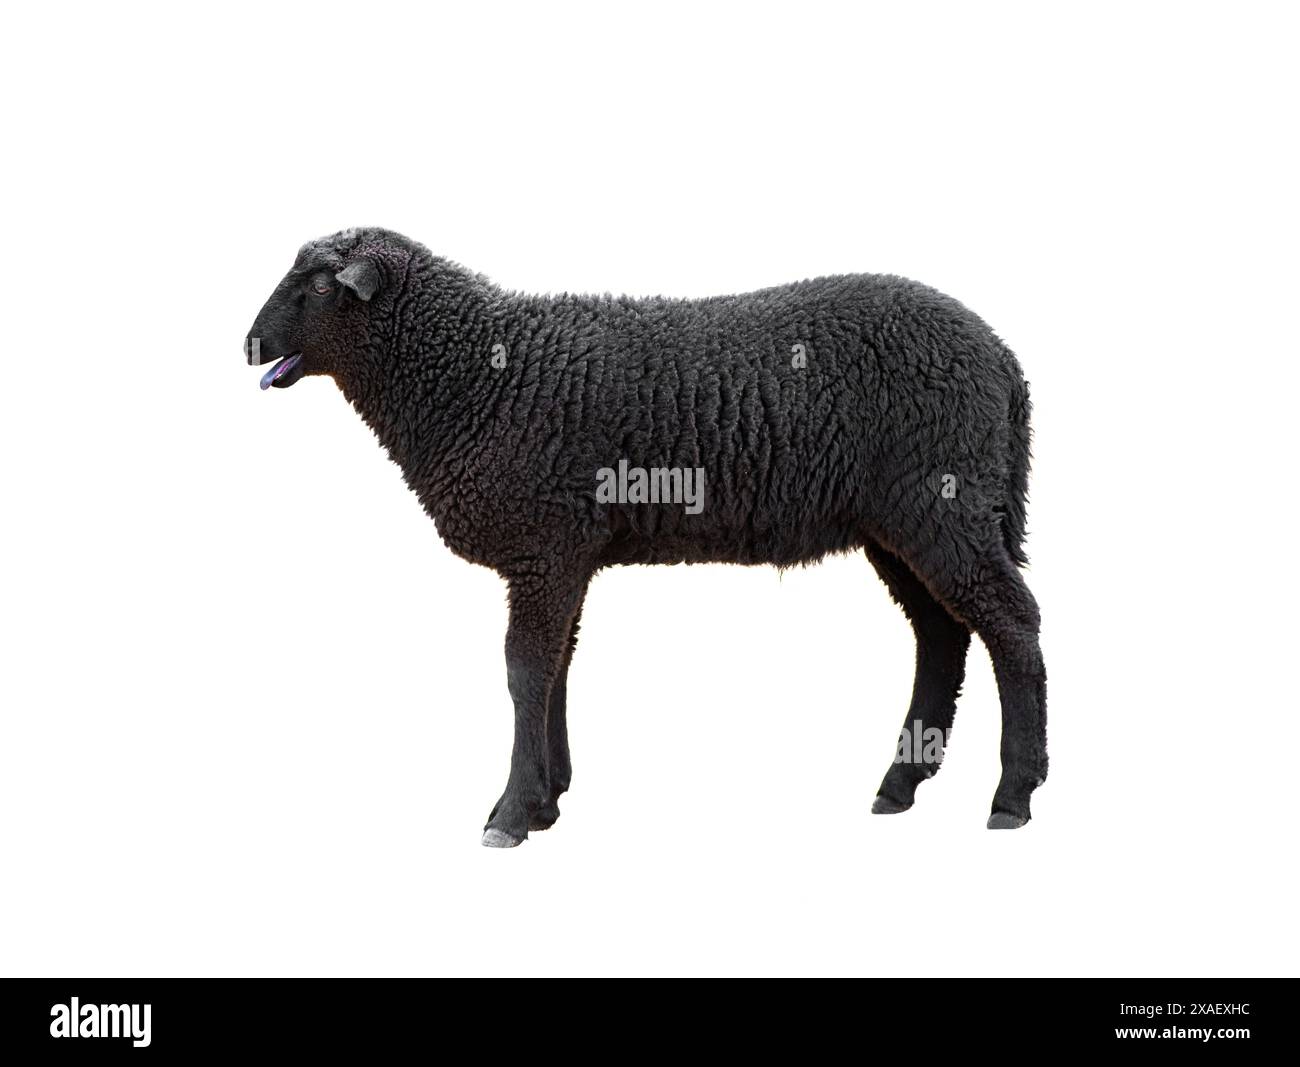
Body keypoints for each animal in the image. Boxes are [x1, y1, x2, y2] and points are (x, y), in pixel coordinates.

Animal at [245, 227, 1046, 847]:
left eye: (322, 285)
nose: (249, 345)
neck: (481, 375)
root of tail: (1004, 361)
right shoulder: (566, 551)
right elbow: (558, 666)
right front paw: (548, 798)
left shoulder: (544, 543)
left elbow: (524, 669)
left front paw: (512, 812)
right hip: (906, 521)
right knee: (942, 634)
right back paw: (901, 783)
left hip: (944, 503)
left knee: (1012, 625)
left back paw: (1013, 794)